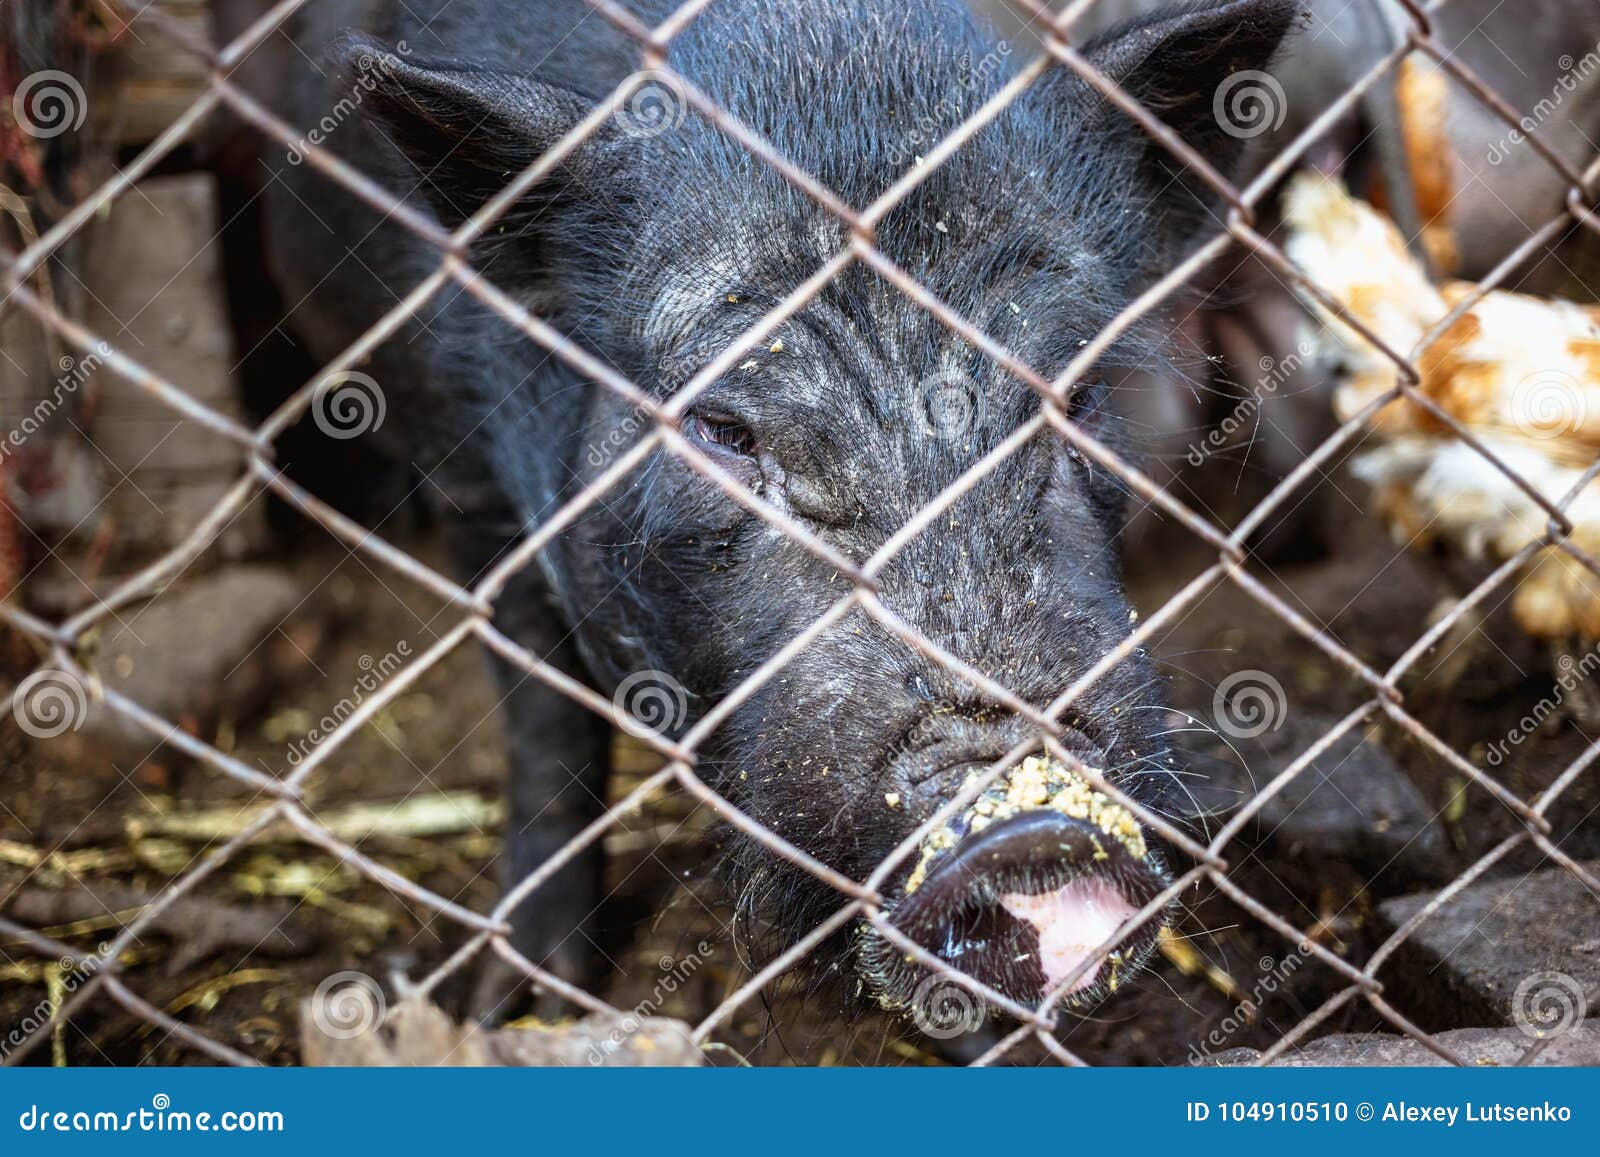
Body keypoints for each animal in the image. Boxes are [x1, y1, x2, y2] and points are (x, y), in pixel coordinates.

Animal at [238, 0, 1296, 1031]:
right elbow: (545, 717)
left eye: (1073, 396)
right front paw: (517, 1005)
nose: (1024, 825)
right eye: (723, 429)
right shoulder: (470, 475)